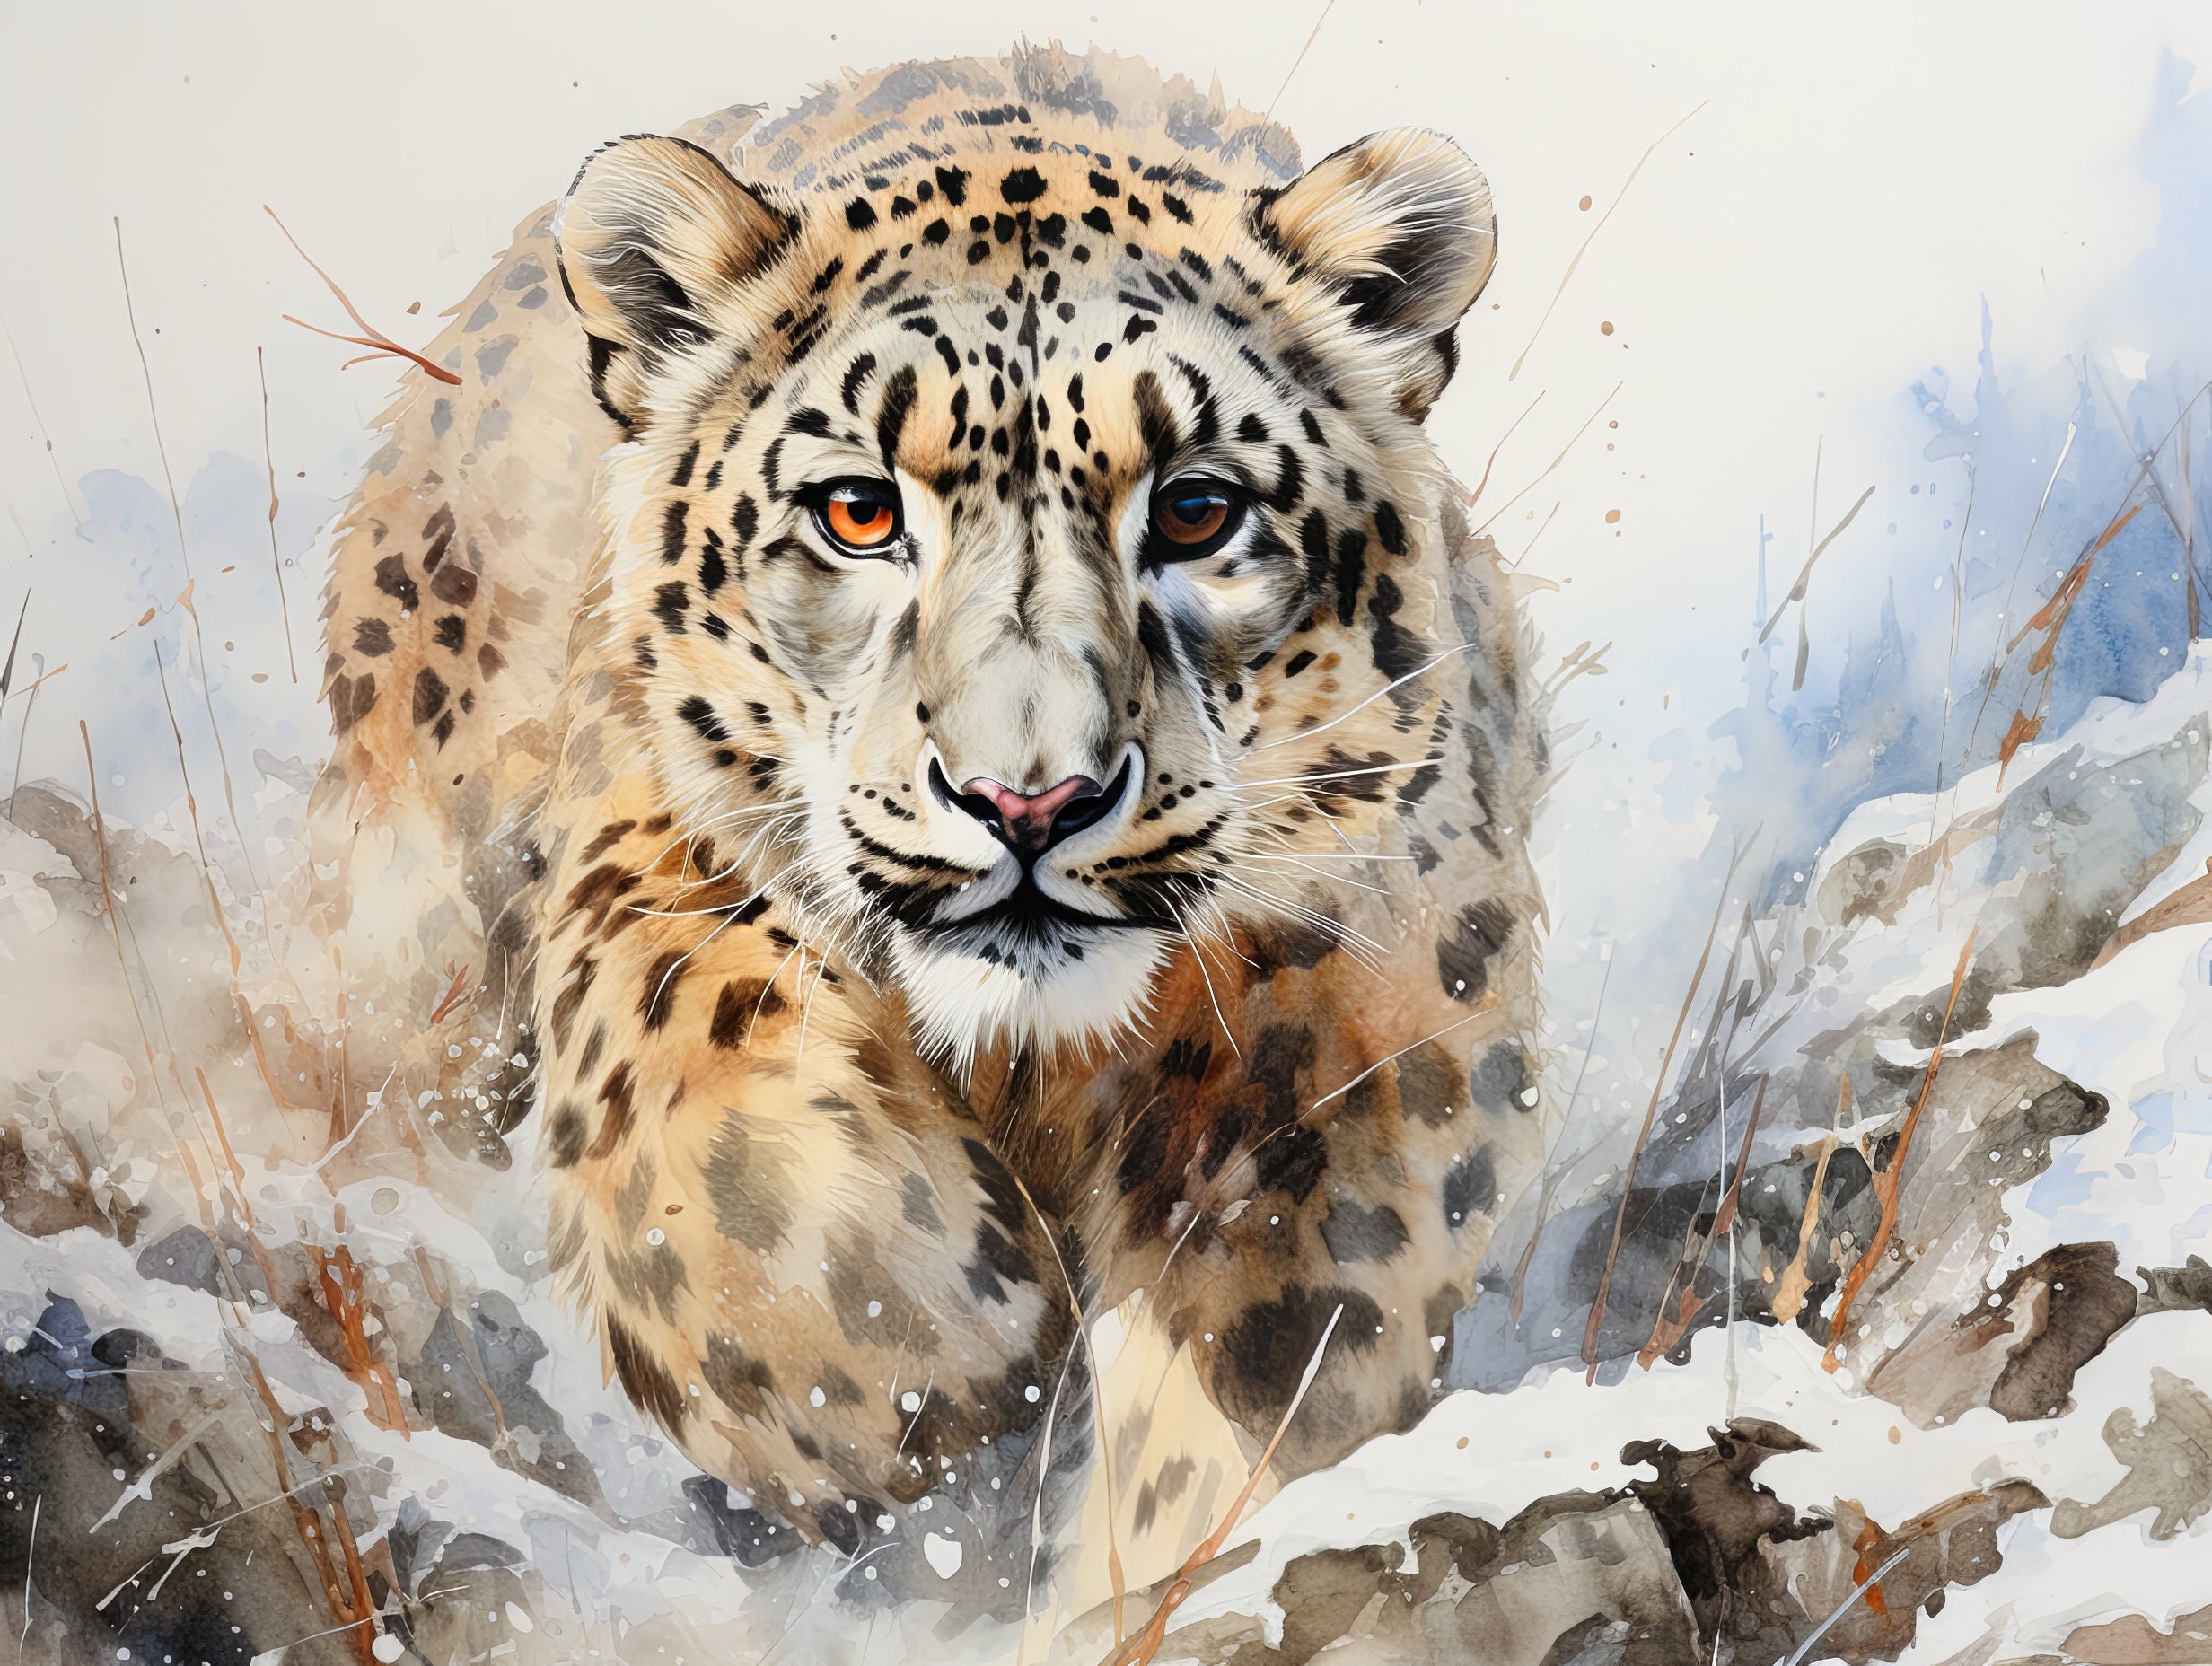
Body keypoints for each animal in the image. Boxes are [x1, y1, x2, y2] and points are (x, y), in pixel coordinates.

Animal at [299, 44, 1551, 1619]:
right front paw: (923, 1353)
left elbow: (1281, 1329)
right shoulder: (652, 861)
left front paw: (1130, 1581)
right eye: (857, 510)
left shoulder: (1358, 992)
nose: (1030, 798)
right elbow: (697, 1096)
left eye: (1197, 509)